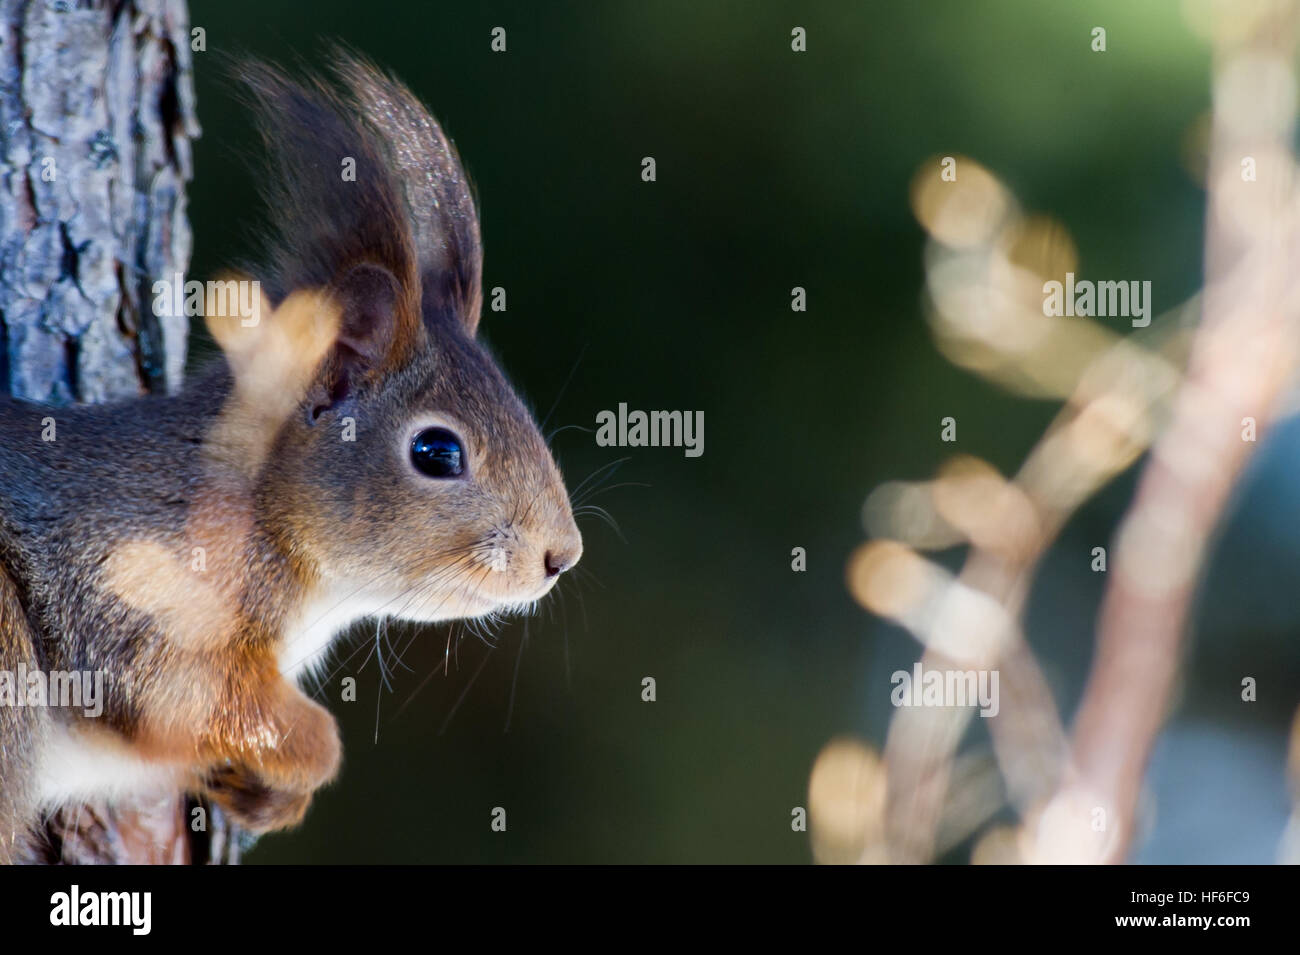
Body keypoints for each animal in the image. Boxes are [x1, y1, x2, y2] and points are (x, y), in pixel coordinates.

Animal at [0, 50, 582, 863]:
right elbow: (176, 688)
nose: (563, 555)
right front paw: (309, 755)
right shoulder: (138, 580)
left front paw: (267, 795)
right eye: (436, 451)